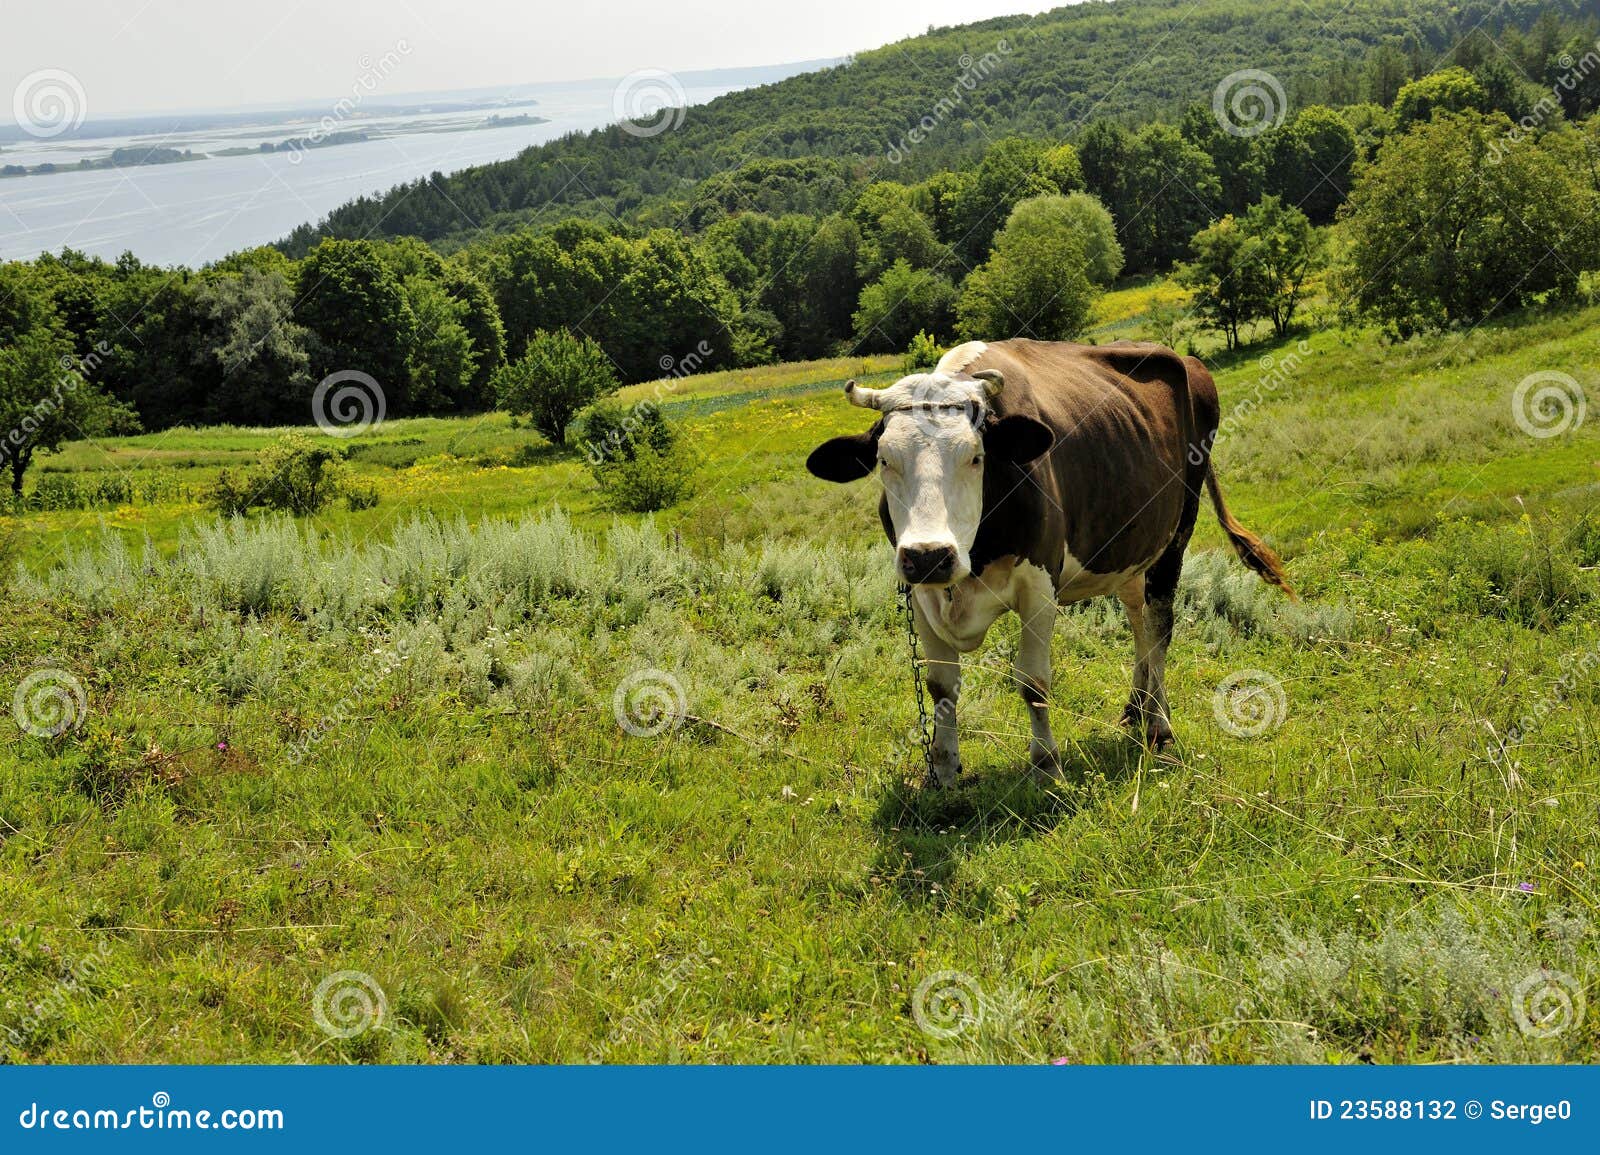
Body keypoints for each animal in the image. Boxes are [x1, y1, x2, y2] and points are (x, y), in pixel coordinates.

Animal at [805, 338, 1292, 786]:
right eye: (885, 460)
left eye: (976, 457)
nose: (930, 555)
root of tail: (1184, 359)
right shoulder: (921, 593)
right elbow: (941, 685)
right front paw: (942, 771)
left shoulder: (1040, 586)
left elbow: (1033, 683)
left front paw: (1046, 766)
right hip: (1130, 549)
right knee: (1138, 620)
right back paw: (1137, 707)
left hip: (1176, 536)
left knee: (1159, 627)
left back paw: (1159, 725)